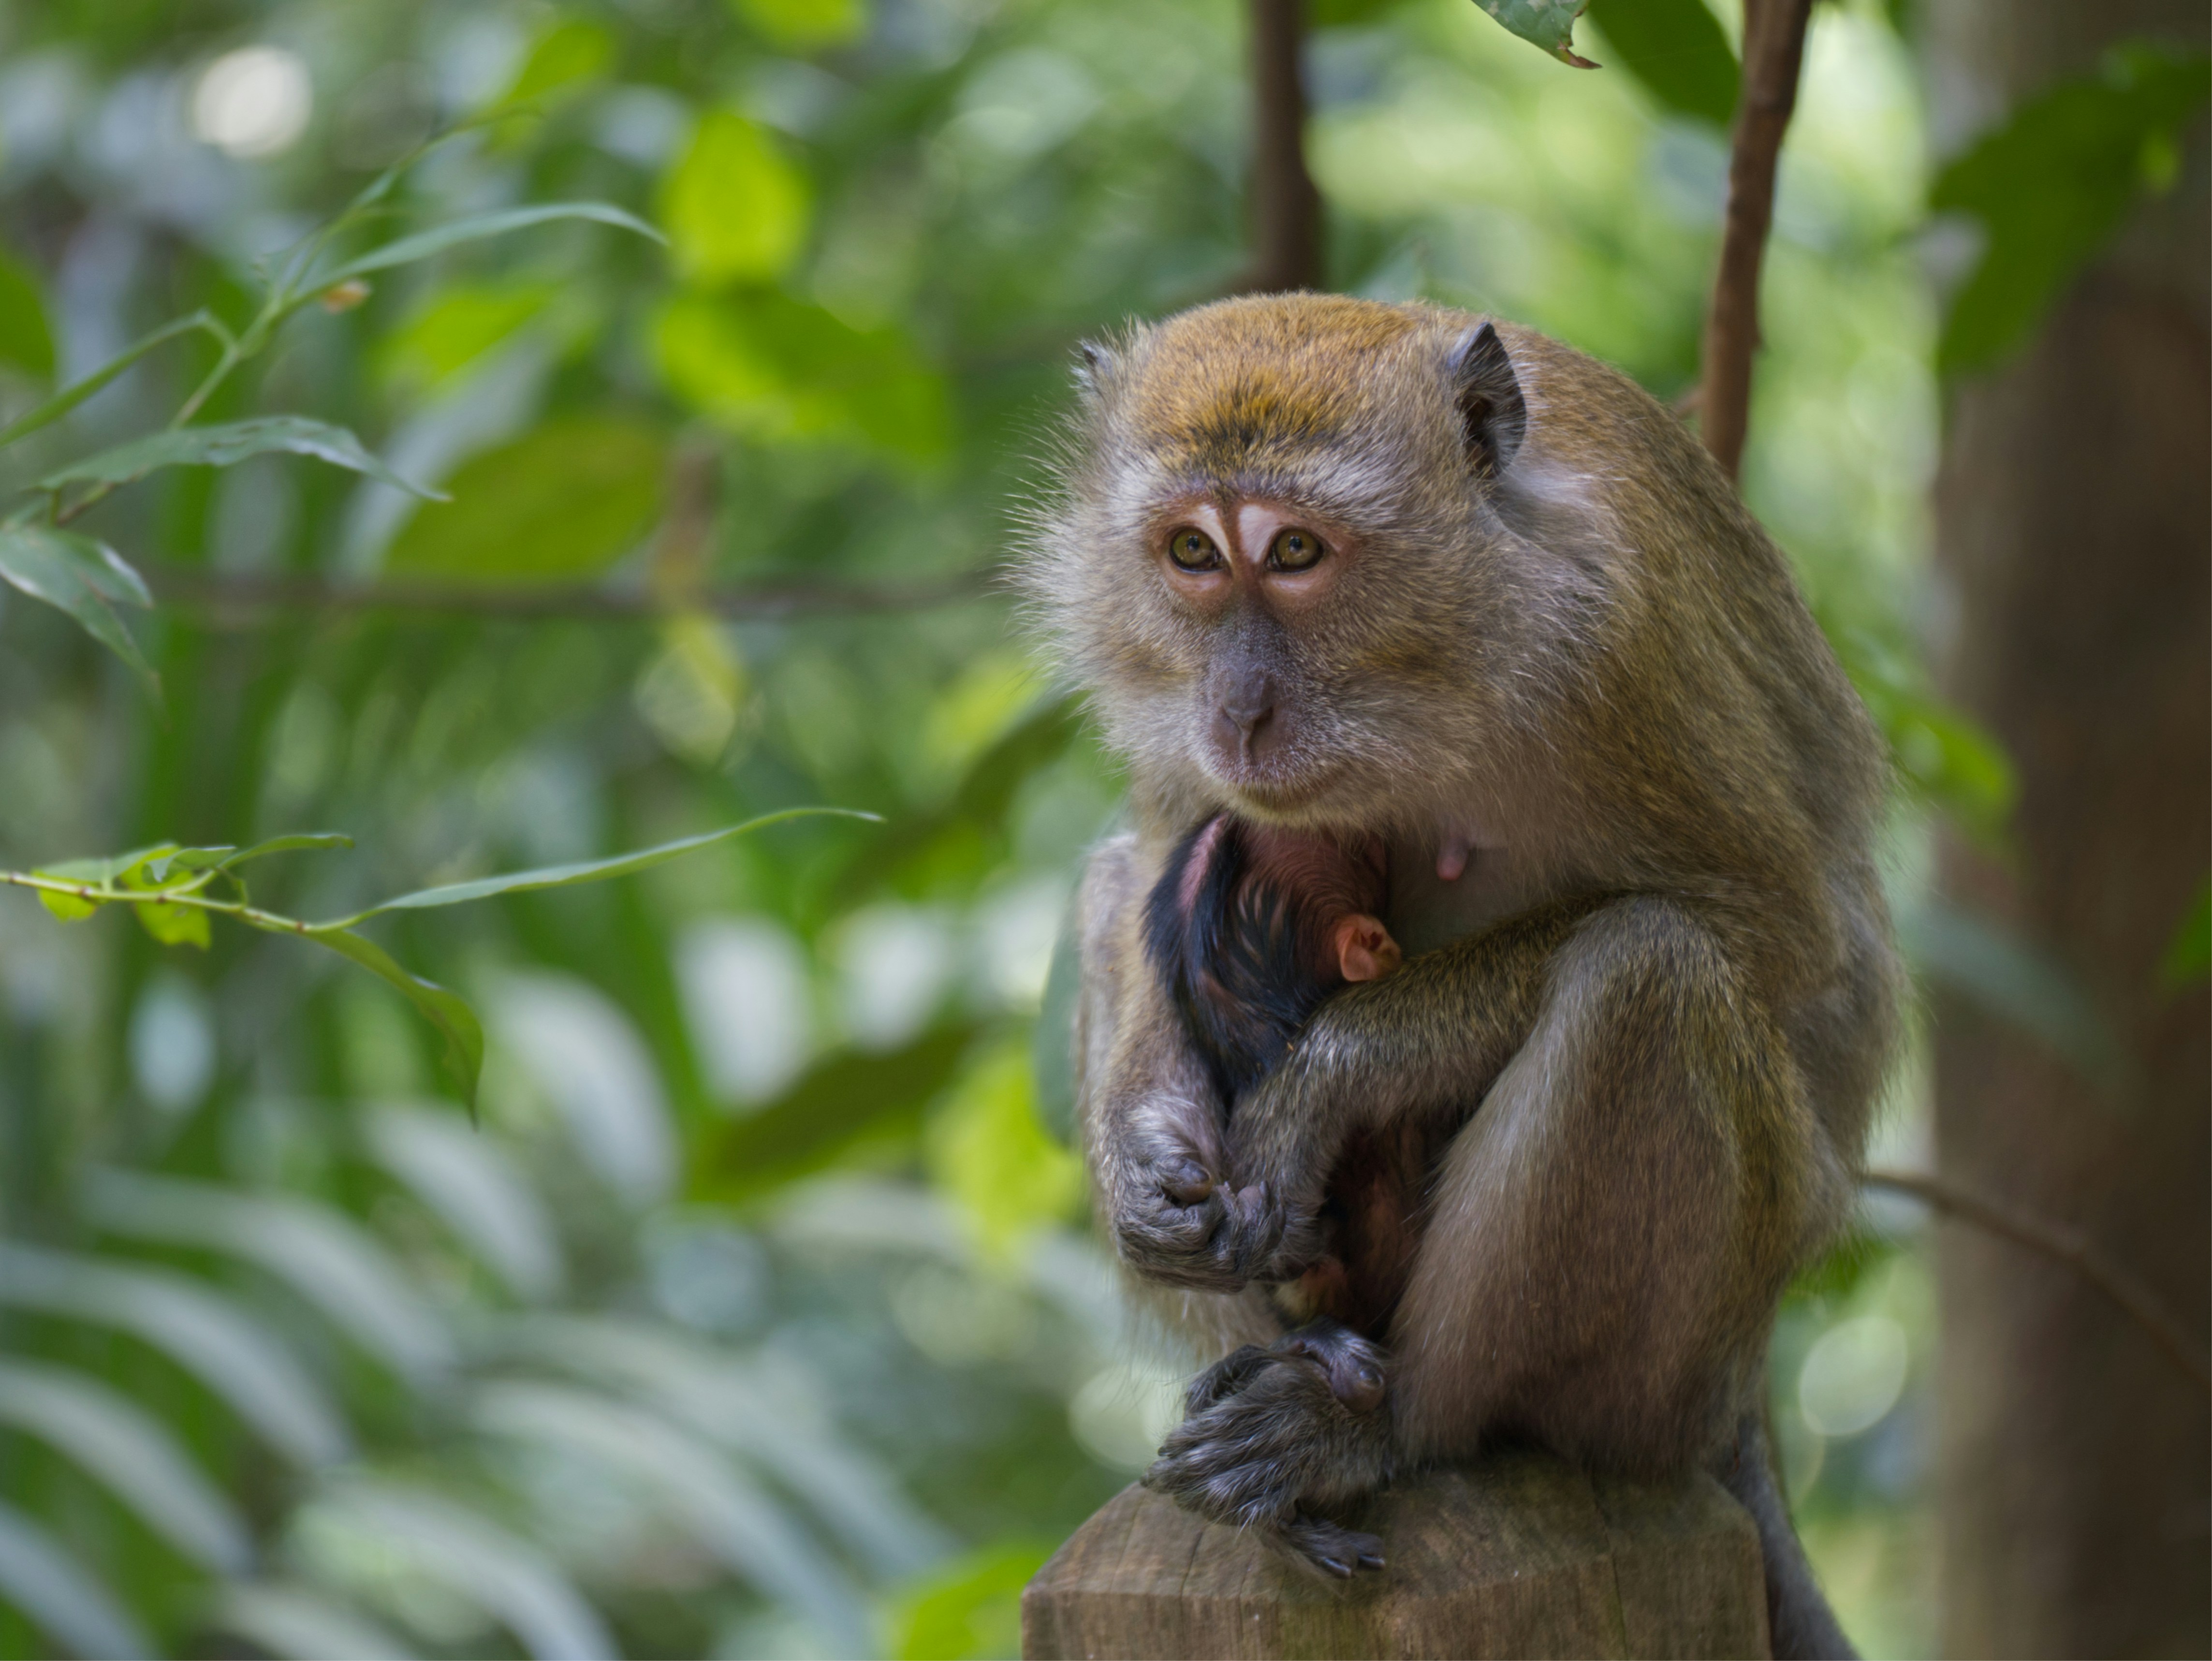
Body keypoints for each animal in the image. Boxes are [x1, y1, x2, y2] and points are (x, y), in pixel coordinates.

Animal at [1025, 294, 1897, 1657]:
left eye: (1292, 551)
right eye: (1189, 553)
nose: (1238, 708)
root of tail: (1738, 1390)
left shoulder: (1625, 635)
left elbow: (1780, 928)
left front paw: (1338, 1069)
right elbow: (1166, 850)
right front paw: (1150, 1164)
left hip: (1700, 1326)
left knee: (1646, 972)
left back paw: (1389, 1427)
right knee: (1121, 878)